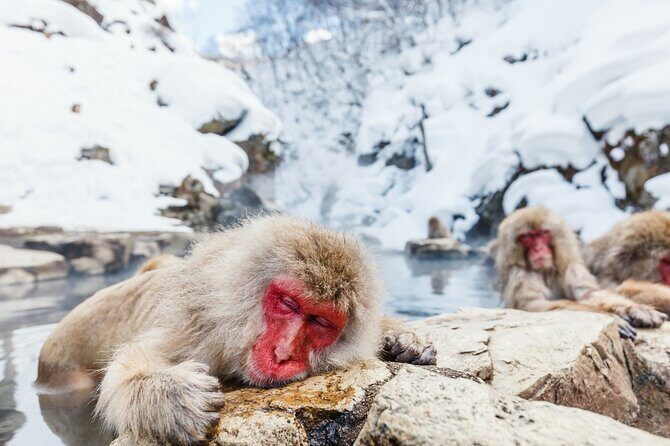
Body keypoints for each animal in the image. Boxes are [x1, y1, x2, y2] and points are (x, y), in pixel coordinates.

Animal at [36, 215, 436, 445]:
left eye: (320, 322)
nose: (283, 353)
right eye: (288, 304)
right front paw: (170, 395)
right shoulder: (198, 329)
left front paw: (404, 339)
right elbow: (130, 367)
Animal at [492, 206, 666, 339]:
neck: (545, 271)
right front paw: (612, 318)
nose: (538, 248)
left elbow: (589, 294)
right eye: (527, 237)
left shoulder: (571, 267)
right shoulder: (520, 274)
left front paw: (635, 309)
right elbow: (533, 305)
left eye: (542, 233)